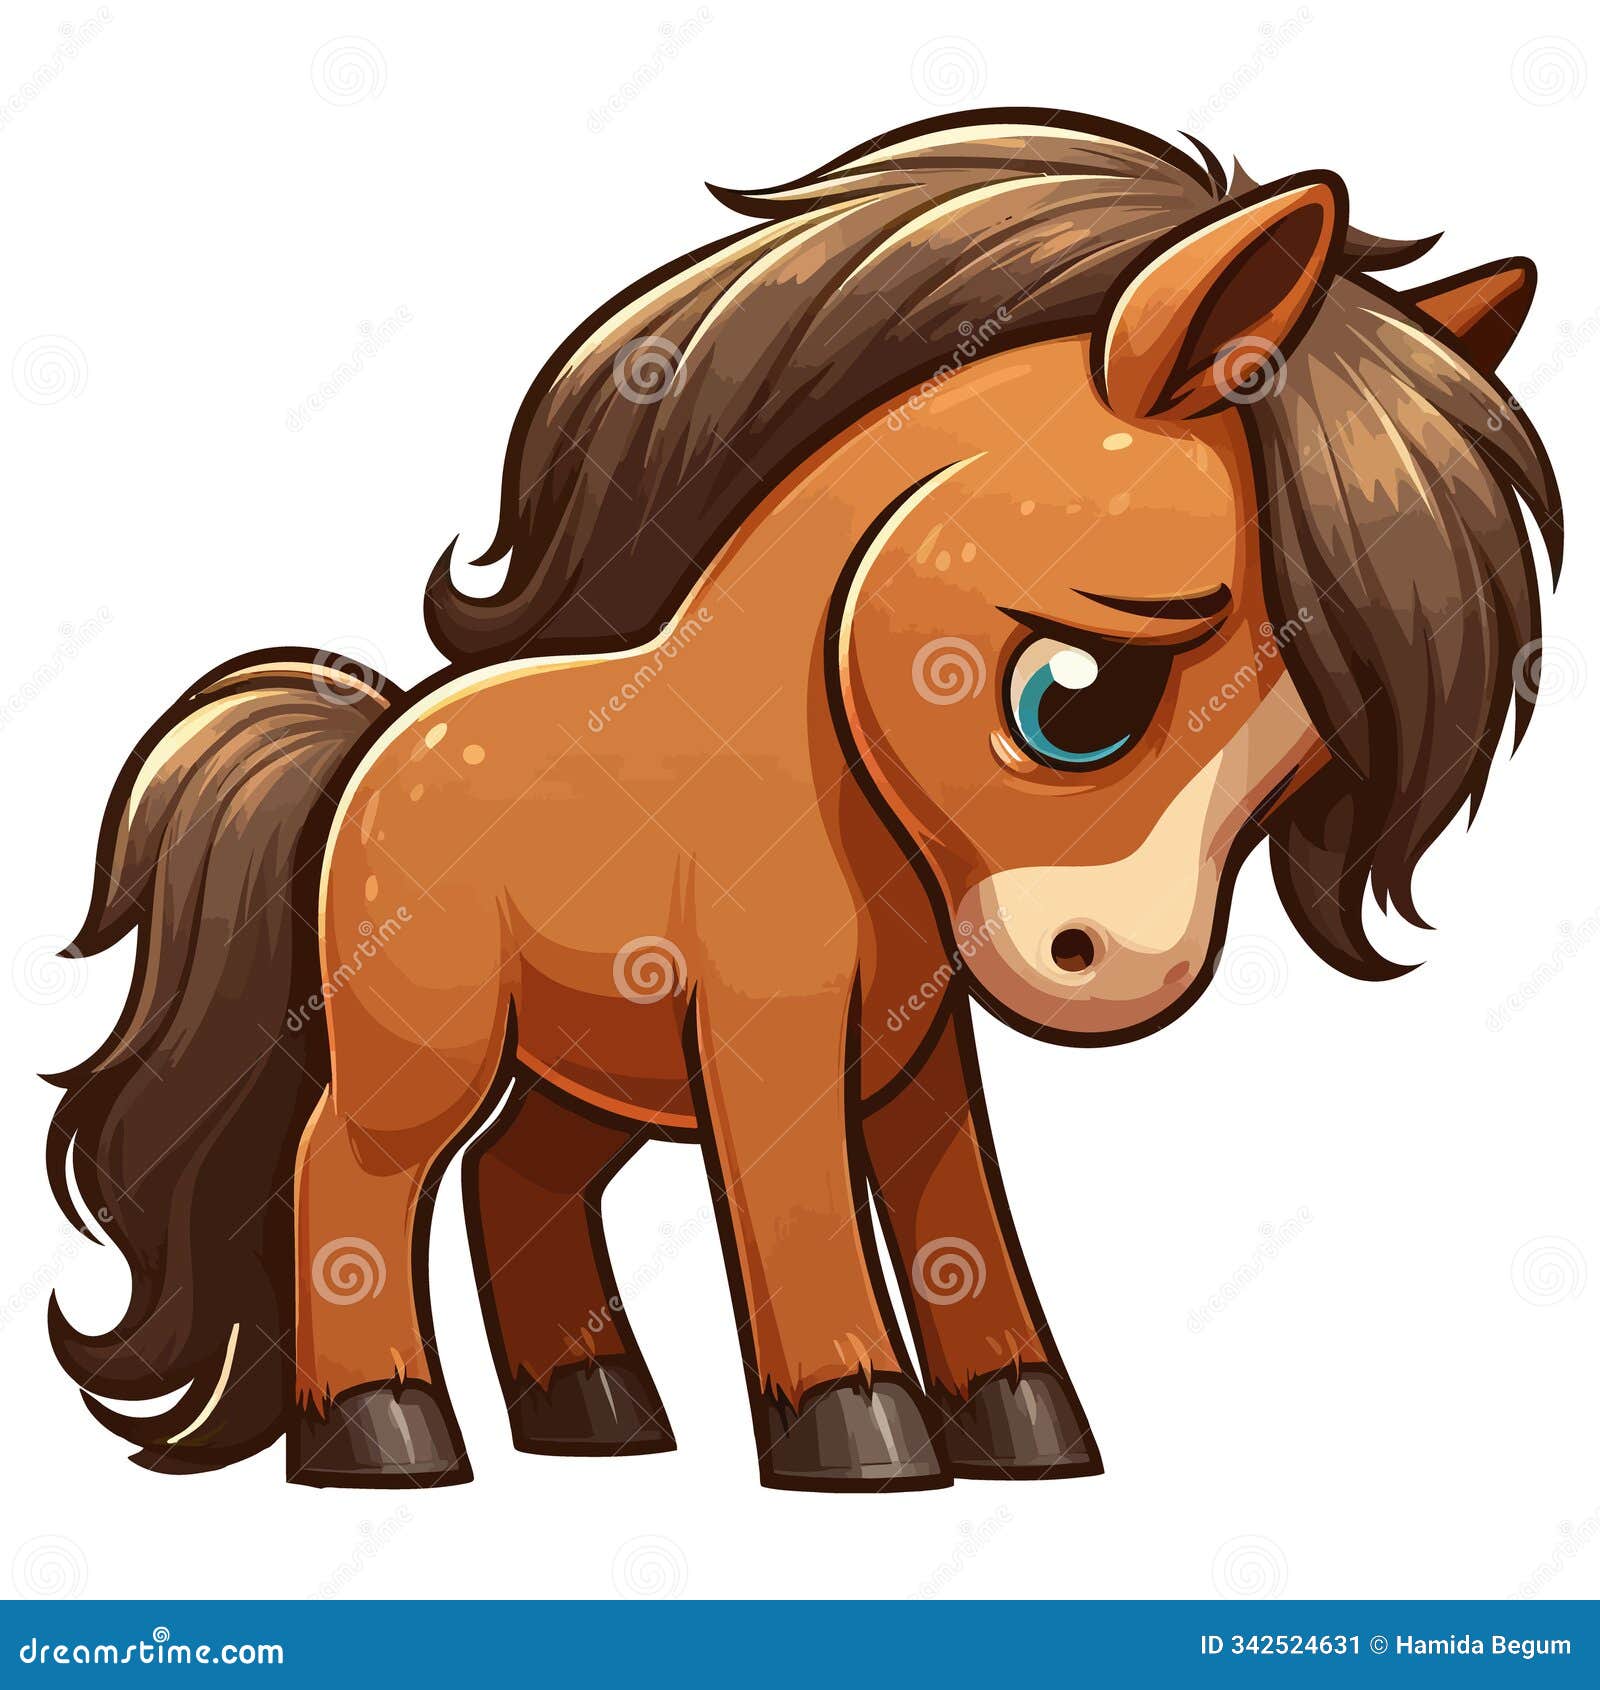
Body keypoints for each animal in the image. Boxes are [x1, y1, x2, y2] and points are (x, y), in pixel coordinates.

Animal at [48, 112, 1561, 1492]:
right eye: (1076, 698)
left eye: (1308, 770)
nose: (1120, 968)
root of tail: (375, 733)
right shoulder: (766, 1036)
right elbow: (800, 1214)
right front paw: (856, 1431)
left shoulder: (919, 1047)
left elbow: (960, 1228)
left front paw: (1024, 1424)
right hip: (431, 1041)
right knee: (347, 1167)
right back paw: (382, 1432)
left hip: (592, 1053)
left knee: (519, 1177)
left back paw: (591, 1408)